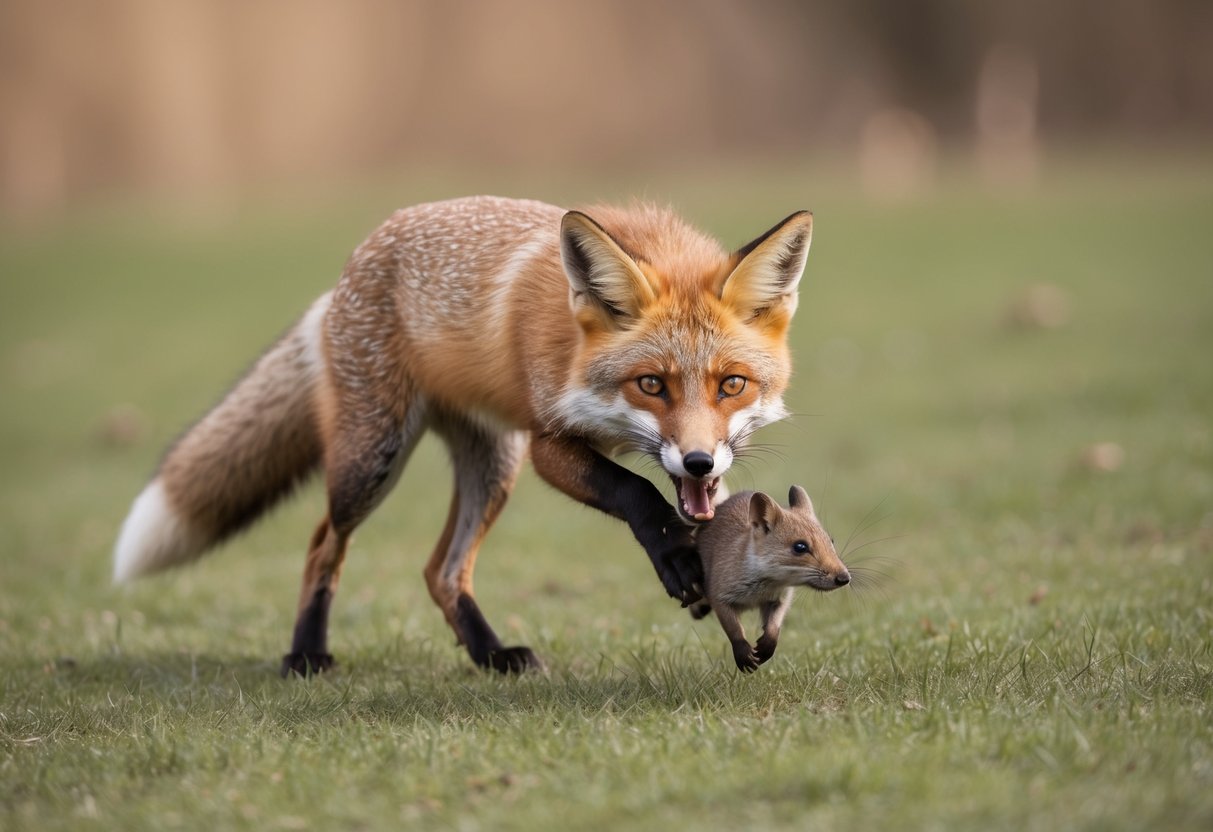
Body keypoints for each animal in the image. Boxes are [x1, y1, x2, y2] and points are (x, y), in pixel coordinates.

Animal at [113, 196, 813, 676]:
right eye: (650, 385)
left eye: (731, 385)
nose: (696, 463)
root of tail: (346, 275)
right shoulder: (547, 442)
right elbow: (634, 491)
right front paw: (674, 557)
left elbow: (690, 508)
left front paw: (697, 566)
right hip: (374, 460)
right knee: (322, 545)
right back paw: (306, 655)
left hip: (491, 466)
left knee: (441, 571)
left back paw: (491, 654)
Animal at [690, 485, 849, 672]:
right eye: (800, 547)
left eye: (831, 541)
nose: (844, 578)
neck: (759, 590)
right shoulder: (720, 597)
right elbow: (735, 631)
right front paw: (743, 655)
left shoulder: (780, 599)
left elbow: (774, 629)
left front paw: (766, 648)